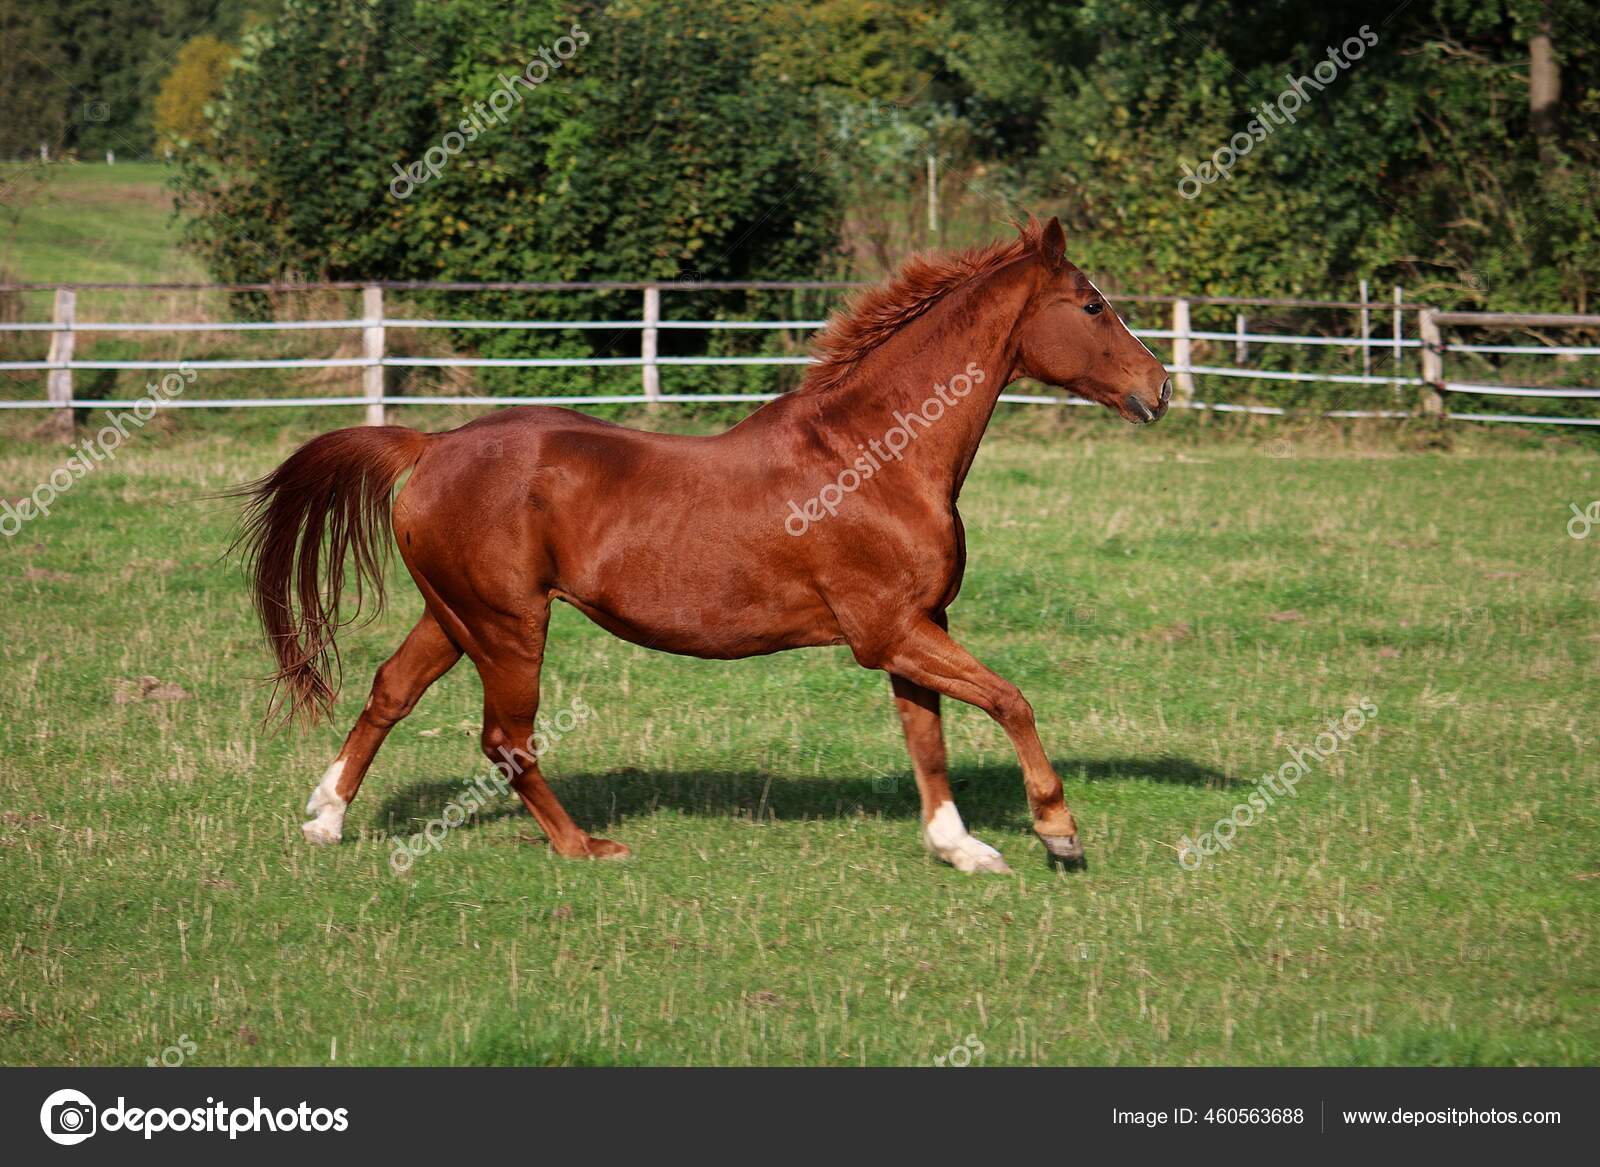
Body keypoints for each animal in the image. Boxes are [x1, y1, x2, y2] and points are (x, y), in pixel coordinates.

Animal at [233, 216, 1170, 873]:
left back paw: (326, 818)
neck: (879, 456)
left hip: (457, 615)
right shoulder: (887, 632)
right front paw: (1059, 832)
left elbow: (927, 738)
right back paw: (585, 848)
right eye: (1093, 305)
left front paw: (960, 847)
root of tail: (428, 448)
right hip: (508, 627)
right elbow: (1010, 700)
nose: (1160, 387)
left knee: (391, 691)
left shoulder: (917, 626)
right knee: (505, 739)